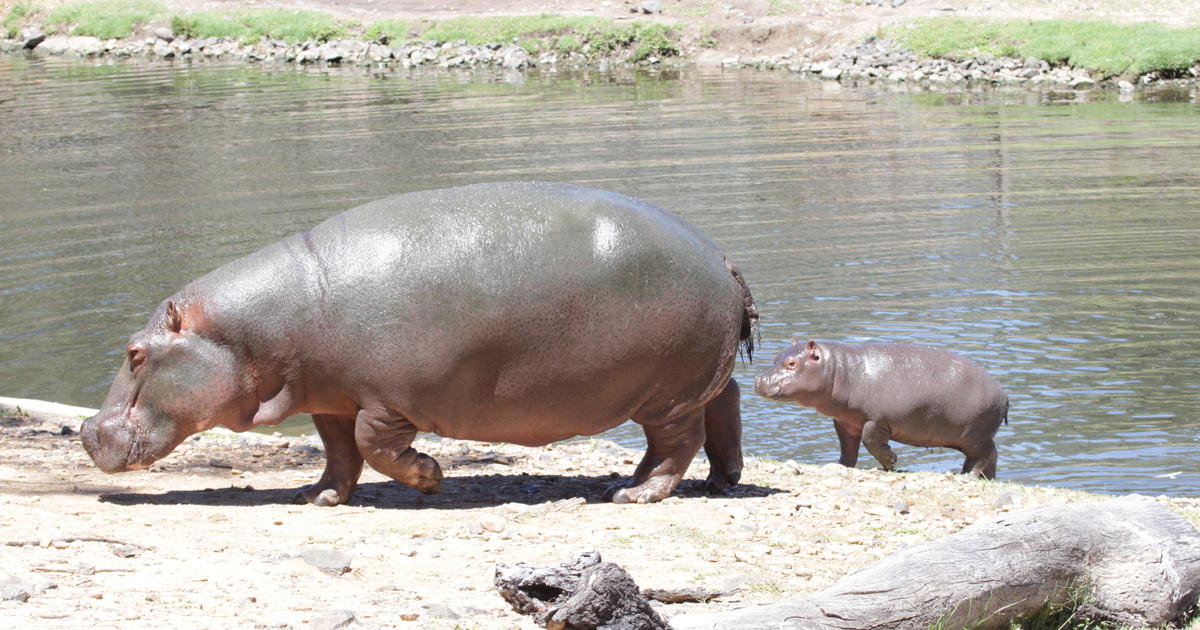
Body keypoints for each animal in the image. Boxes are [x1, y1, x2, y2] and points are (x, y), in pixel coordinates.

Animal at [81, 182, 759, 505]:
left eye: (134, 353)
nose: (88, 431)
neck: (258, 330)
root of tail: (723, 257)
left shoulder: (386, 401)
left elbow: (372, 446)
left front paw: (430, 477)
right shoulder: (331, 398)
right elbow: (339, 453)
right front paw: (316, 497)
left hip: (667, 392)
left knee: (676, 443)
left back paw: (631, 494)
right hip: (689, 381)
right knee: (724, 406)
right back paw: (712, 481)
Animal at [755, 340, 1007, 478]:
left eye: (792, 364)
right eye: (776, 357)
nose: (759, 379)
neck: (842, 370)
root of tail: (1004, 394)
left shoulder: (876, 420)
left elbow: (870, 440)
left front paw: (891, 462)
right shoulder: (845, 422)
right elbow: (847, 447)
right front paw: (840, 466)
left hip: (975, 436)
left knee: (986, 455)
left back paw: (968, 477)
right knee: (990, 456)